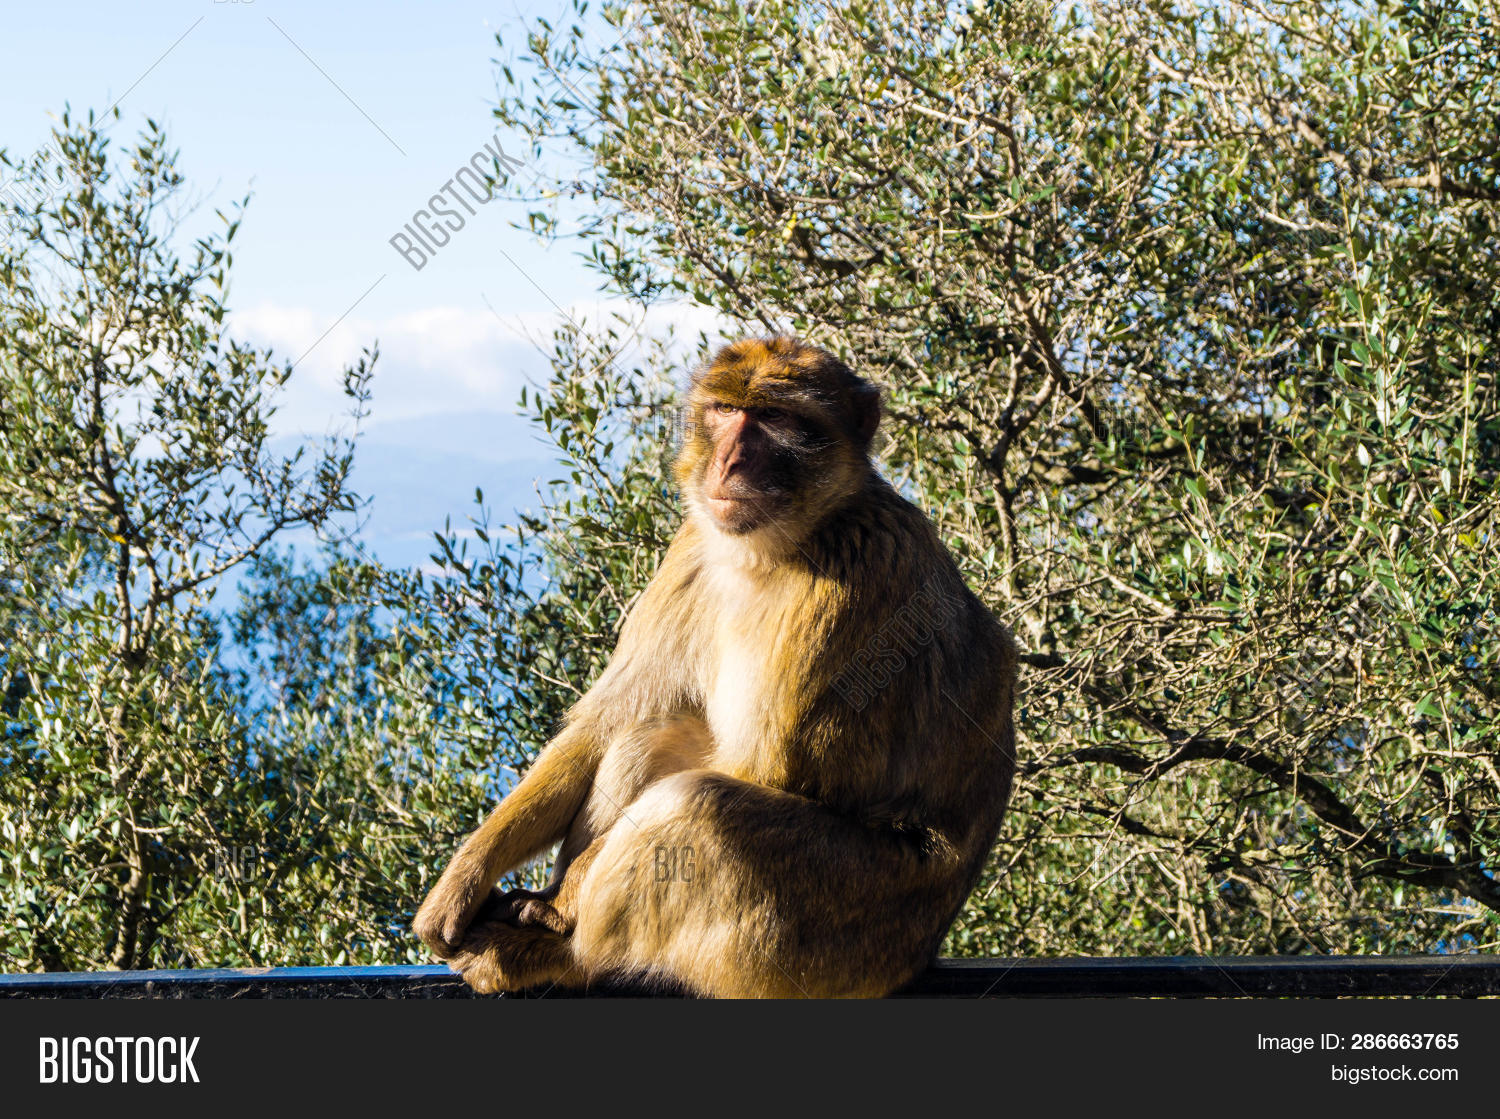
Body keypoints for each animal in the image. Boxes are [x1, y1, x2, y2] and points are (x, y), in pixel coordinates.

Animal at [412, 336, 1017, 998]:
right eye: (726, 411)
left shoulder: (858, 575)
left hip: (842, 933)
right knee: (651, 736)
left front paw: (560, 904)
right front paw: (464, 878)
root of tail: (919, 954)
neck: (774, 549)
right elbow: (607, 721)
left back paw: (563, 953)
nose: (728, 463)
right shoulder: (691, 550)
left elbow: (763, 766)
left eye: (775, 417)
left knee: (700, 807)